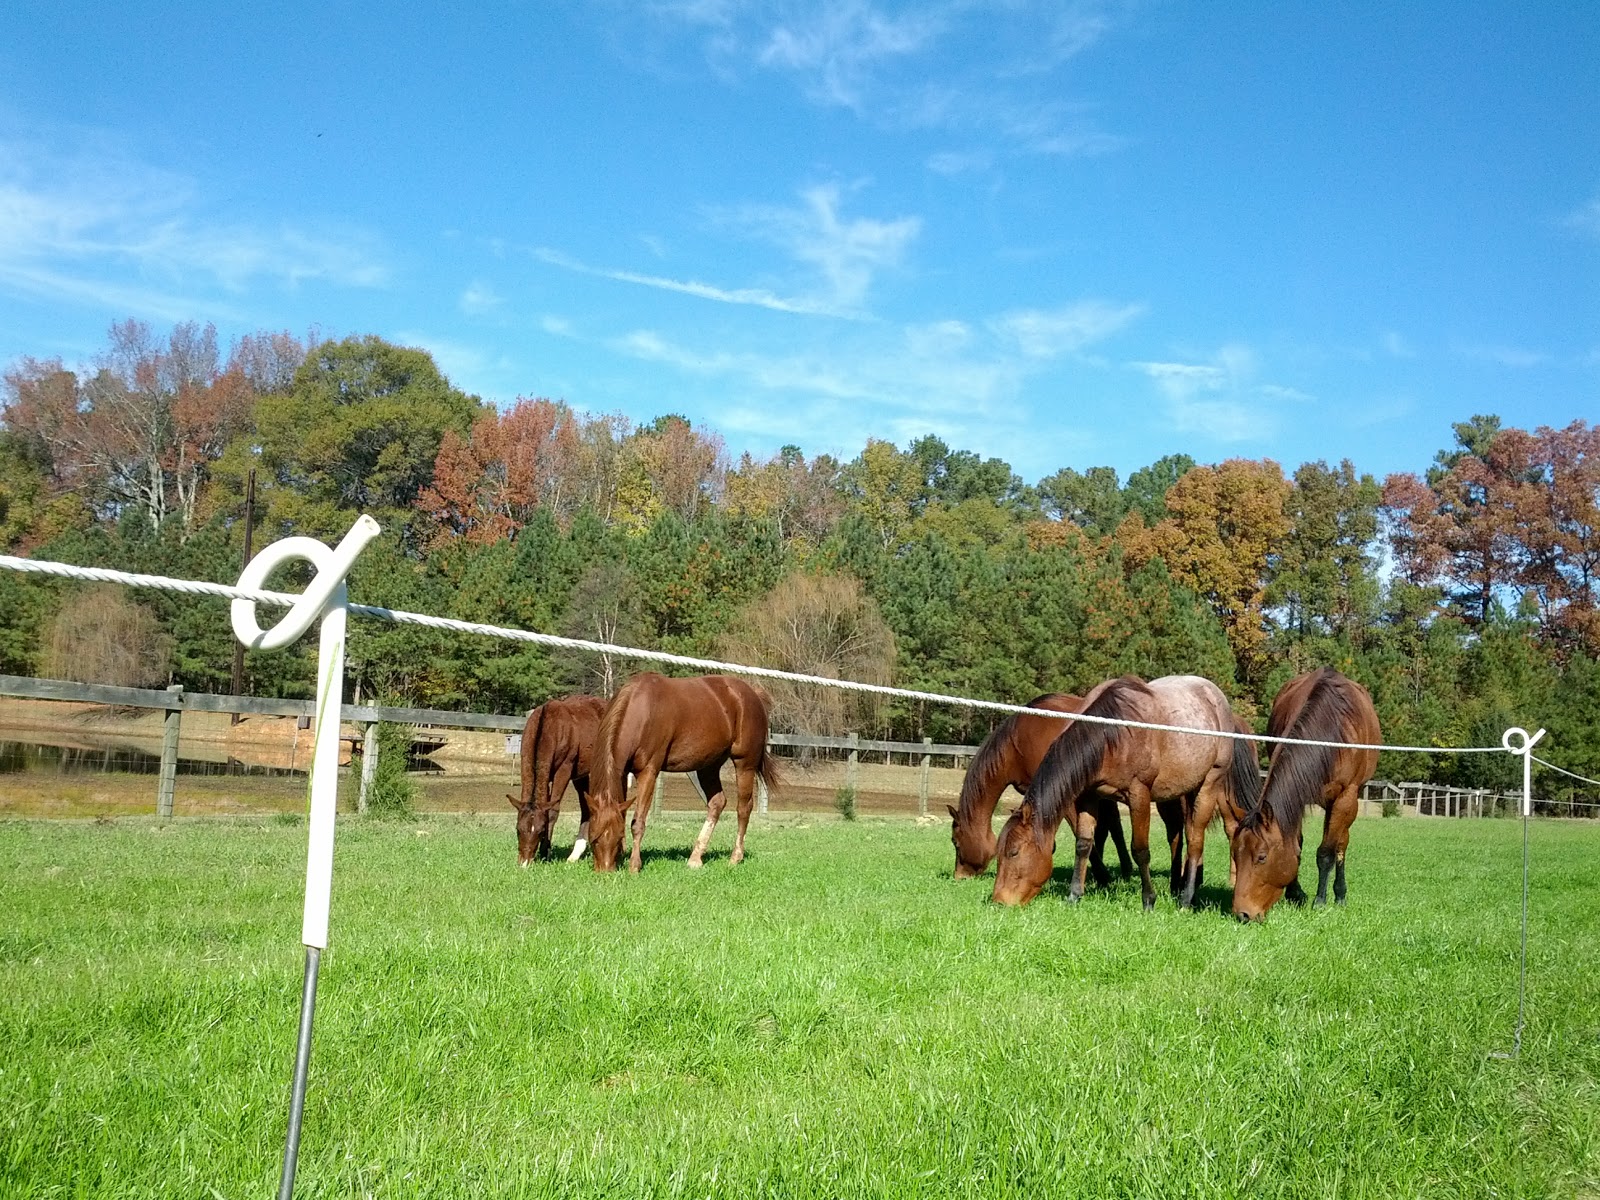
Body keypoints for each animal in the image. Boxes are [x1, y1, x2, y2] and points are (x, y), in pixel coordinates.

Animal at [505, 694, 607, 866]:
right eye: (518, 829)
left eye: (540, 831)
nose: (524, 862)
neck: (548, 728)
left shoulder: (564, 768)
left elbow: (553, 810)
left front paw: (545, 851)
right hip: (581, 774)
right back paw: (575, 854)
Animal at [588, 672, 781, 873]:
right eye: (593, 838)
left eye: (617, 837)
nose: (605, 870)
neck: (641, 710)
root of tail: (753, 693)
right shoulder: (623, 773)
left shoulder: (649, 772)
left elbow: (637, 822)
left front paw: (634, 865)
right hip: (708, 766)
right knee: (717, 803)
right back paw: (695, 857)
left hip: (745, 764)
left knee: (743, 808)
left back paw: (735, 857)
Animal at [992, 674, 1260, 910]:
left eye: (1014, 852)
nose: (999, 901)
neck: (1114, 735)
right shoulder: (1089, 796)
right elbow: (1083, 844)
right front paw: (1074, 895)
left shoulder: (1138, 794)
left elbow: (1140, 850)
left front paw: (1148, 900)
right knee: (1178, 834)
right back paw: (1177, 887)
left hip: (1208, 785)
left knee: (1195, 840)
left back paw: (1186, 898)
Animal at [1231, 667, 1380, 921]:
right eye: (1234, 854)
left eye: (1261, 856)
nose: (1242, 914)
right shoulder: (1295, 801)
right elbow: (1296, 844)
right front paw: (1295, 893)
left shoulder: (1346, 798)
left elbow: (1327, 852)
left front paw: (1320, 900)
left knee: (1341, 843)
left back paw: (1339, 894)